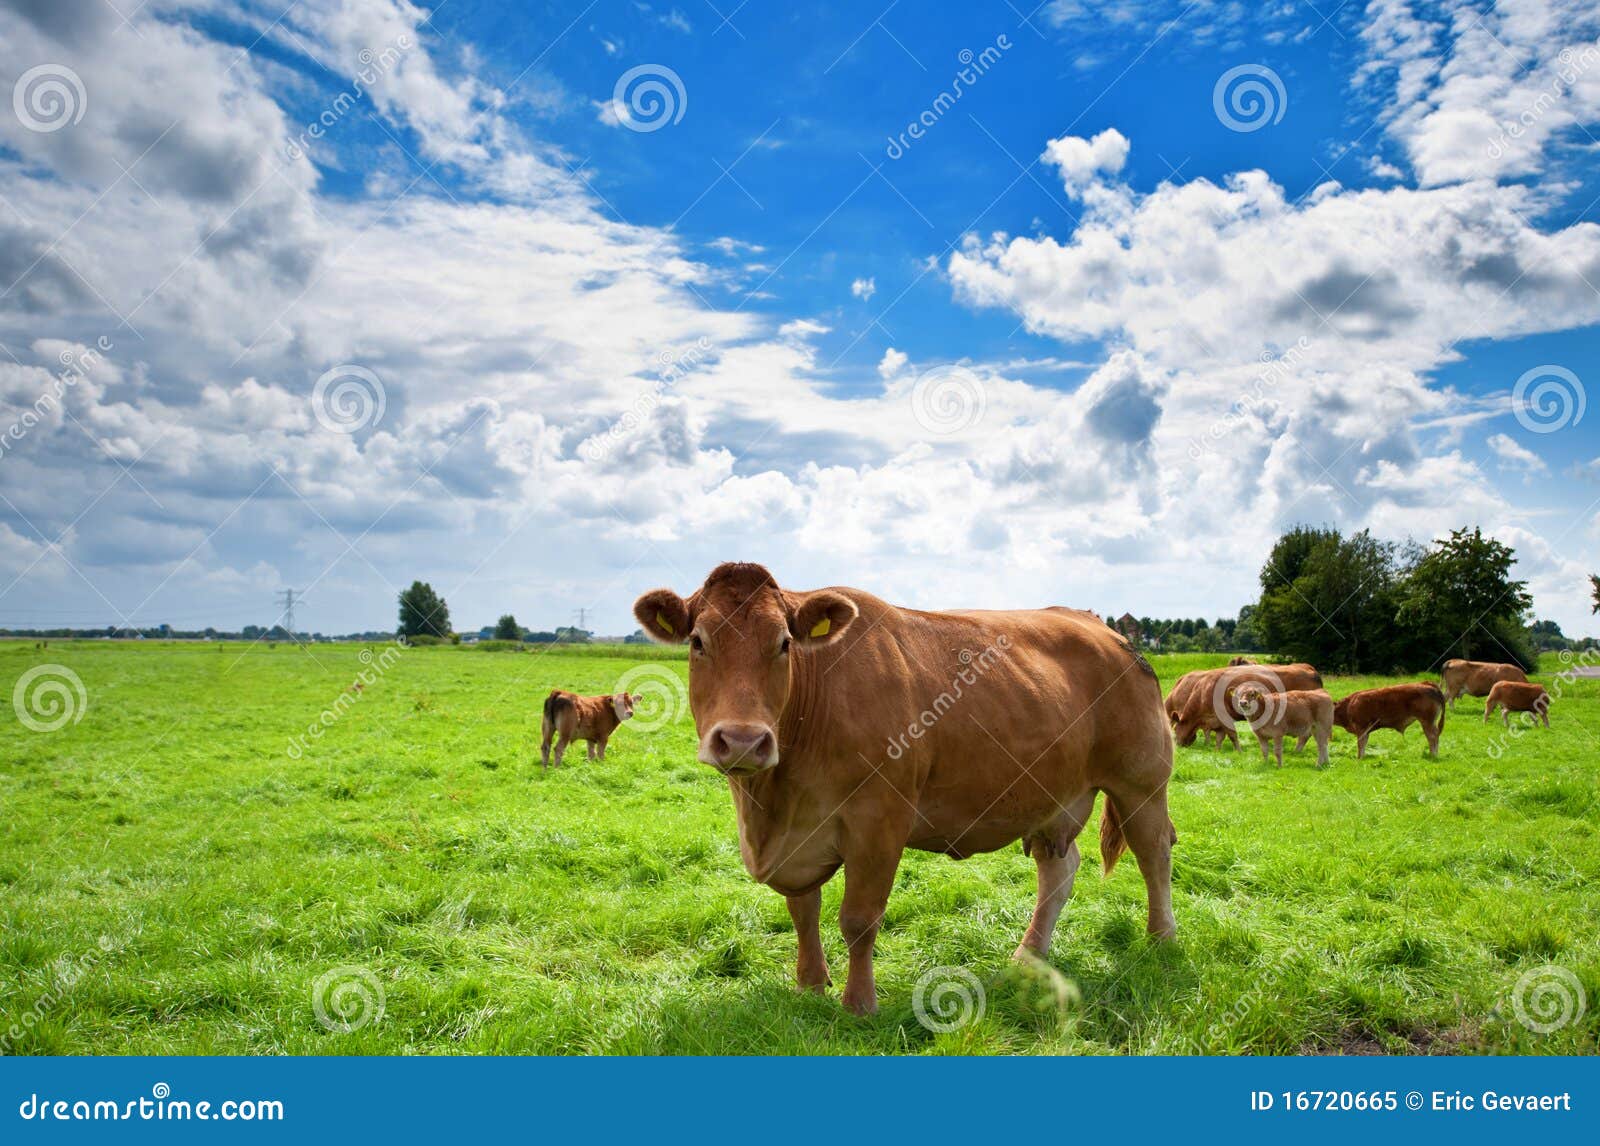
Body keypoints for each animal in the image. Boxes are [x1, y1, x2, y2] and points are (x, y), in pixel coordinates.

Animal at [633, 562, 1176, 1015]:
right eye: (698, 641)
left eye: (784, 643)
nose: (743, 740)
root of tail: (1104, 629)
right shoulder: (798, 839)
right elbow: (803, 910)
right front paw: (809, 985)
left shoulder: (879, 821)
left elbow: (859, 919)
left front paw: (859, 1005)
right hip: (1051, 797)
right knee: (1058, 872)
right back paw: (1028, 957)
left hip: (1142, 782)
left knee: (1154, 855)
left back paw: (1162, 940)